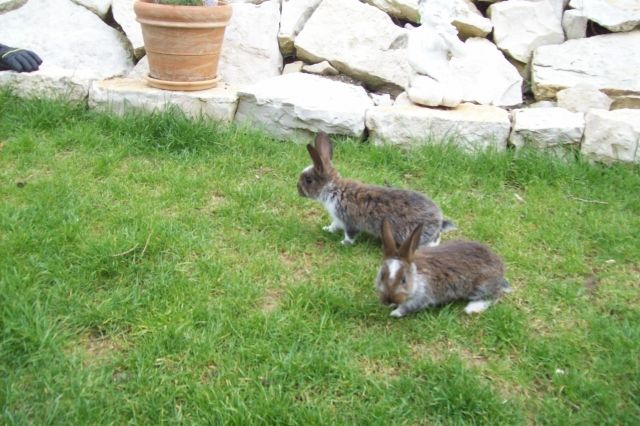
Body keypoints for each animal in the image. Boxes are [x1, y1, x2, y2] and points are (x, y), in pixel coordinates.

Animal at [297, 132, 454, 246]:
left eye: (308, 180)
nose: (297, 189)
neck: (333, 189)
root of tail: (438, 221)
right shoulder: (337, 219)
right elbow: (334, 225)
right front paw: (327, 229)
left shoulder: (349, 221)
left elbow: (350, 234)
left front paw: (343, 243)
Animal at [375, 219, 511, 318]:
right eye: (381, 276)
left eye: (403, 280)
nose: (388, 300)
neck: (416, 277)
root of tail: (500, 269)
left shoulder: (421, 297)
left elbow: (406, 307)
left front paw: (395, 313)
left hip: (482, 286)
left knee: (492, 296)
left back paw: (472, 308)